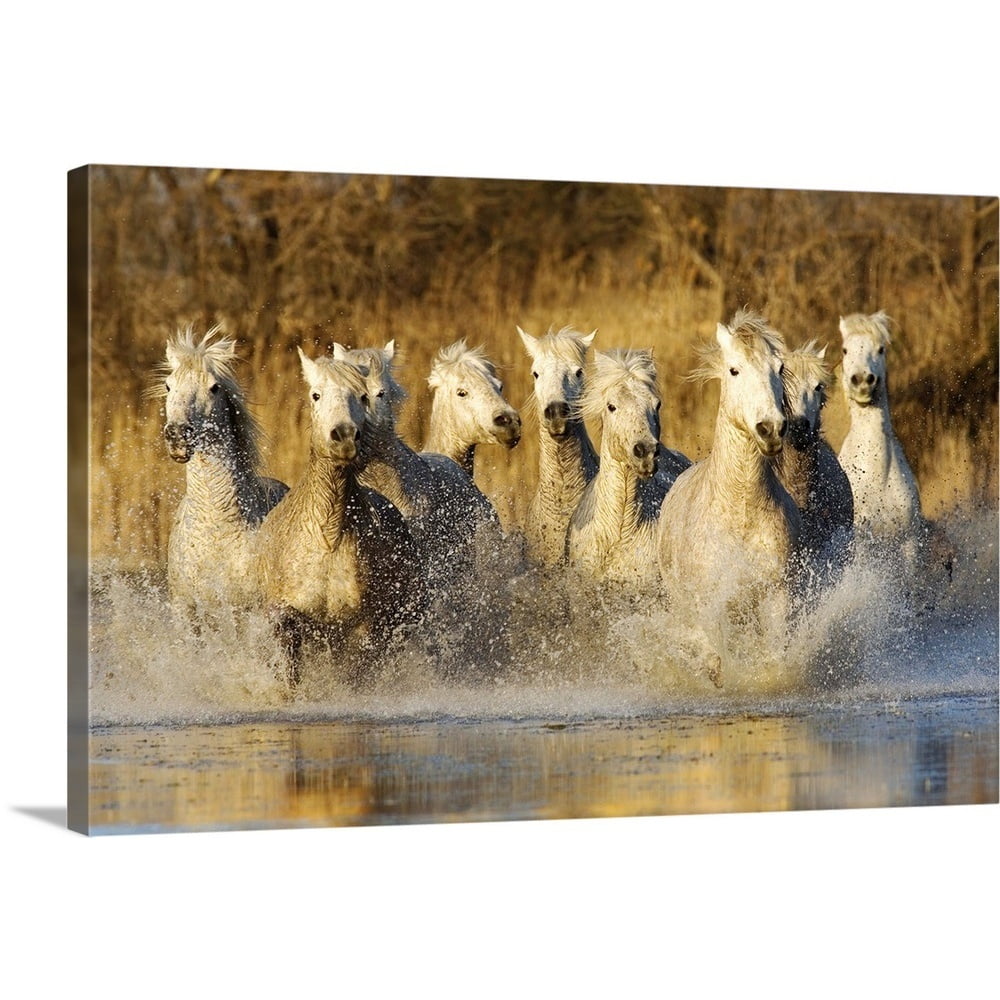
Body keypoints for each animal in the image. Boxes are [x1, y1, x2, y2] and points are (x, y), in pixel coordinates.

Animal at [150, 325, 288, 615]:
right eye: (168, 385)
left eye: (214, 388)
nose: (178, 435)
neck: (214, 528)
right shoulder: (184, 607)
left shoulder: (249, 610)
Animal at [253, 349, 425, 687]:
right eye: (315, 394)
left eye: (362, 396)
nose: (344, 436)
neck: (328, 536)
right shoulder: (286, 611)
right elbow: (288, 649)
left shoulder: (363, 626)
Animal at [657, 309, 800, 688]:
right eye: (734, 370)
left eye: (779, 368)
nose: (771, 429)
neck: (741, 511)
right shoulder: (715, 607)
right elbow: (720, 659)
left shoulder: (775, 598)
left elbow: (773, 657)